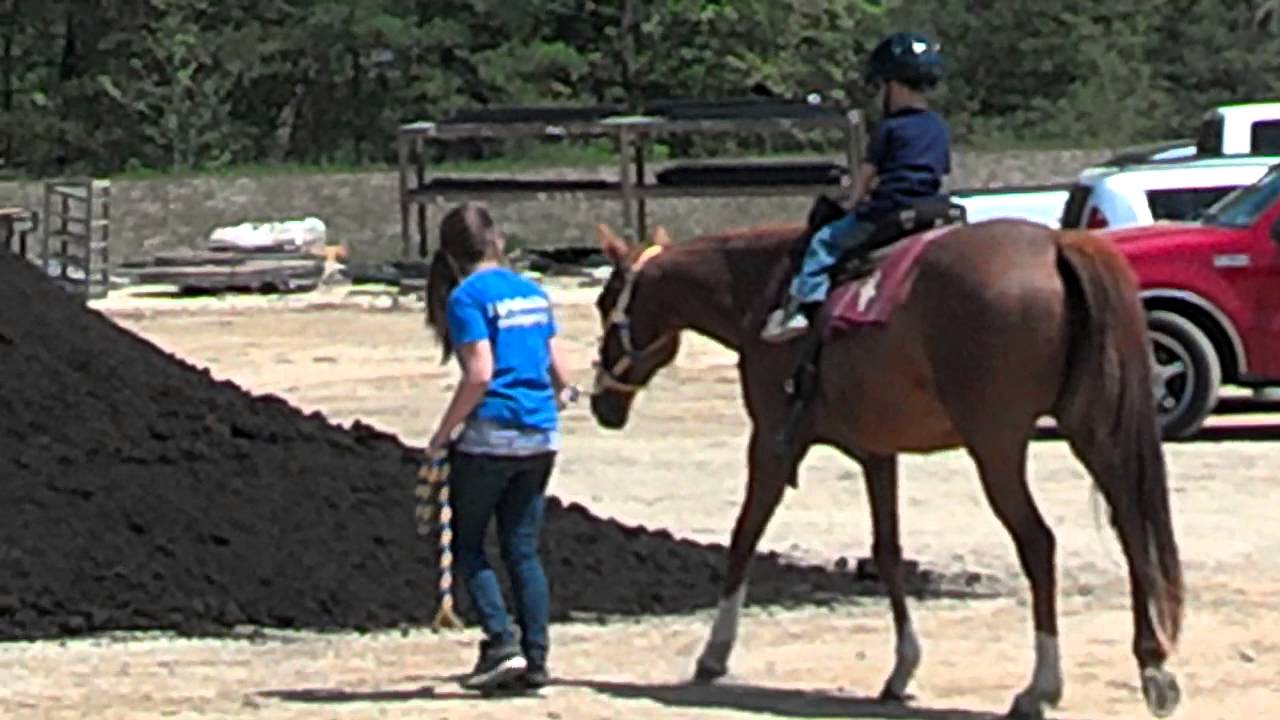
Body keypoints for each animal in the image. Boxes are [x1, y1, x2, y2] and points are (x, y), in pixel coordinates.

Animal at [586, 216, 1184, 719]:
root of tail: (1058, 243)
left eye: (603, 301)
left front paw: (715, 652)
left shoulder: (773, 445)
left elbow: (743, 535)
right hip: (1091, 431)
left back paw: (1040, 687)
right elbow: (888, 552)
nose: (601, 404)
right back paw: (1153, 667)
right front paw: (901, 669)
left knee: (1039, 543)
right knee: (1133, 531)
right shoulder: (878, 453)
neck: (762, 289)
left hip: (997, 447)